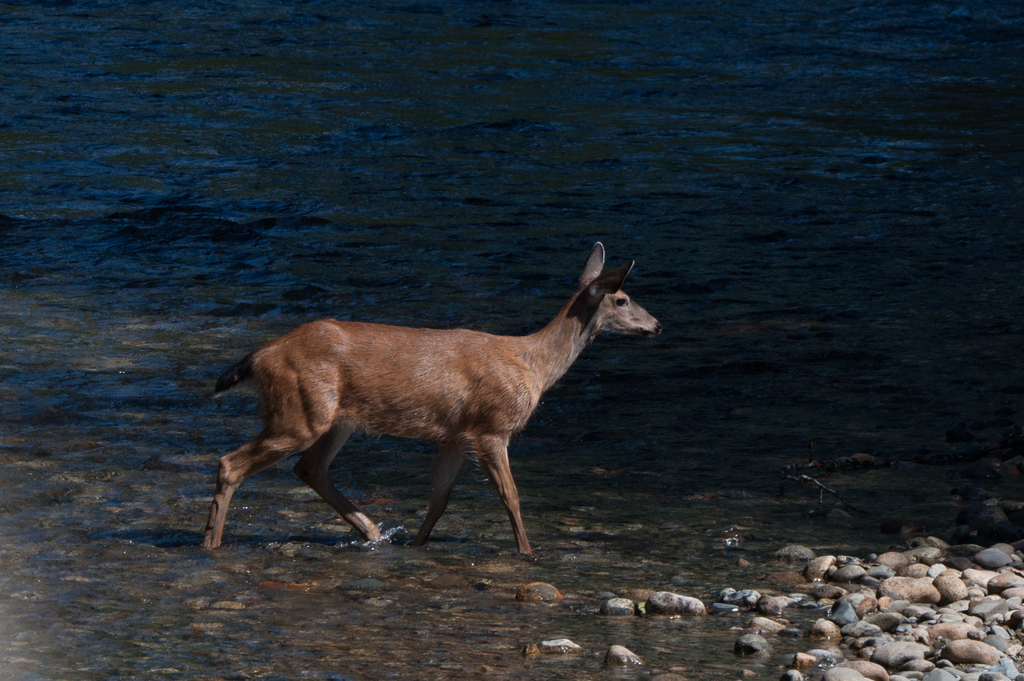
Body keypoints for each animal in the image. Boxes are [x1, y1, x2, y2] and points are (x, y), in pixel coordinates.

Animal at [203, 242, 660, 555]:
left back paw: (372, 531)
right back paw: (211, 543)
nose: (656, 325)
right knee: (231, 463)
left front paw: (417, 545)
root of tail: (260, 357)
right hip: (298, 412)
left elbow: (438, 499)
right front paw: (528, 554)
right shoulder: (491, 426)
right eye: (623, 299)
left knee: (309, 468)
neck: (533, 366)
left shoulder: (455, 435)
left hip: (335, 419)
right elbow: (510, 496)